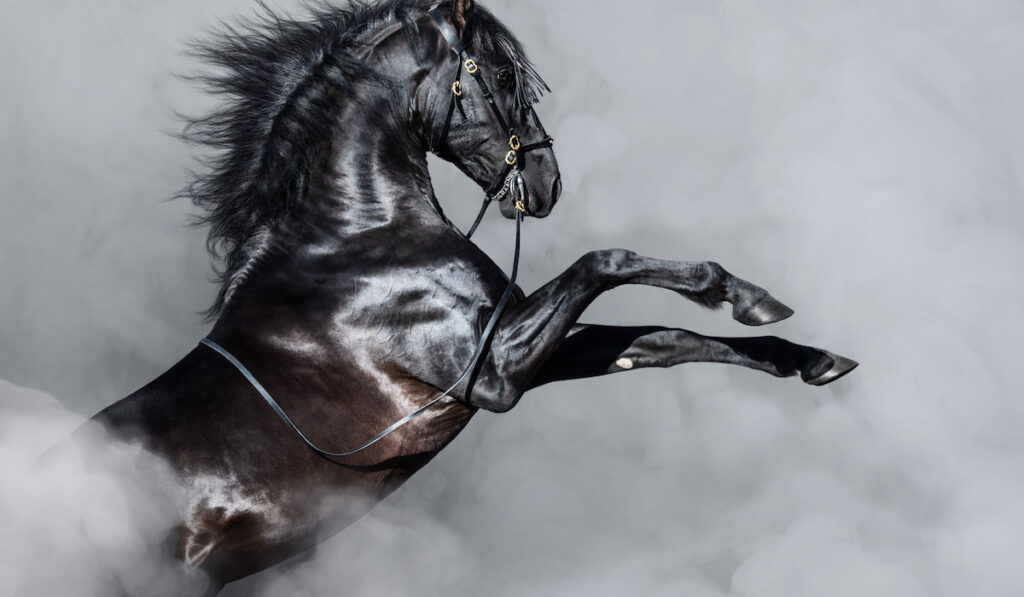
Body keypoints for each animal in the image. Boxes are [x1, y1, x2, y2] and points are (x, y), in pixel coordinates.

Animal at [86, 0, 858, 593]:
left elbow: (661, 342)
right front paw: (738, 291)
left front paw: (808, 355)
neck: (355, 240)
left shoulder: (518, 348)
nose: (546, 183)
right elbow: (608, 262)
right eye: (505, 73)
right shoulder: (493, 371)